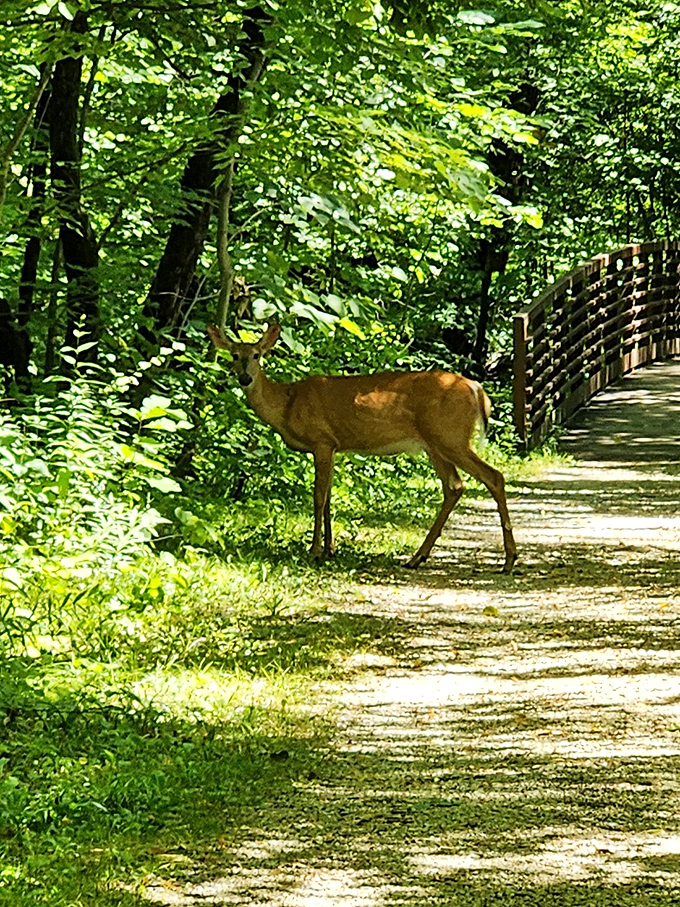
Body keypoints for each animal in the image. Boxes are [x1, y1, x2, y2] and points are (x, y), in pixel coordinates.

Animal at [207, 323, 517, 573]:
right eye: (234, 355)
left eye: (257, 354)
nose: (245, 378)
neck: (286, 404)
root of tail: (476, 388)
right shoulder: (333, 446)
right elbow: (328, 498)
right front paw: (330, 549)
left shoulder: (321, 441)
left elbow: (318, 497)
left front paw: (315, 550)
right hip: (435, 444)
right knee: (455, 486)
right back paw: (418, 557)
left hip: (450, 436)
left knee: (493, 477)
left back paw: (509, 560)